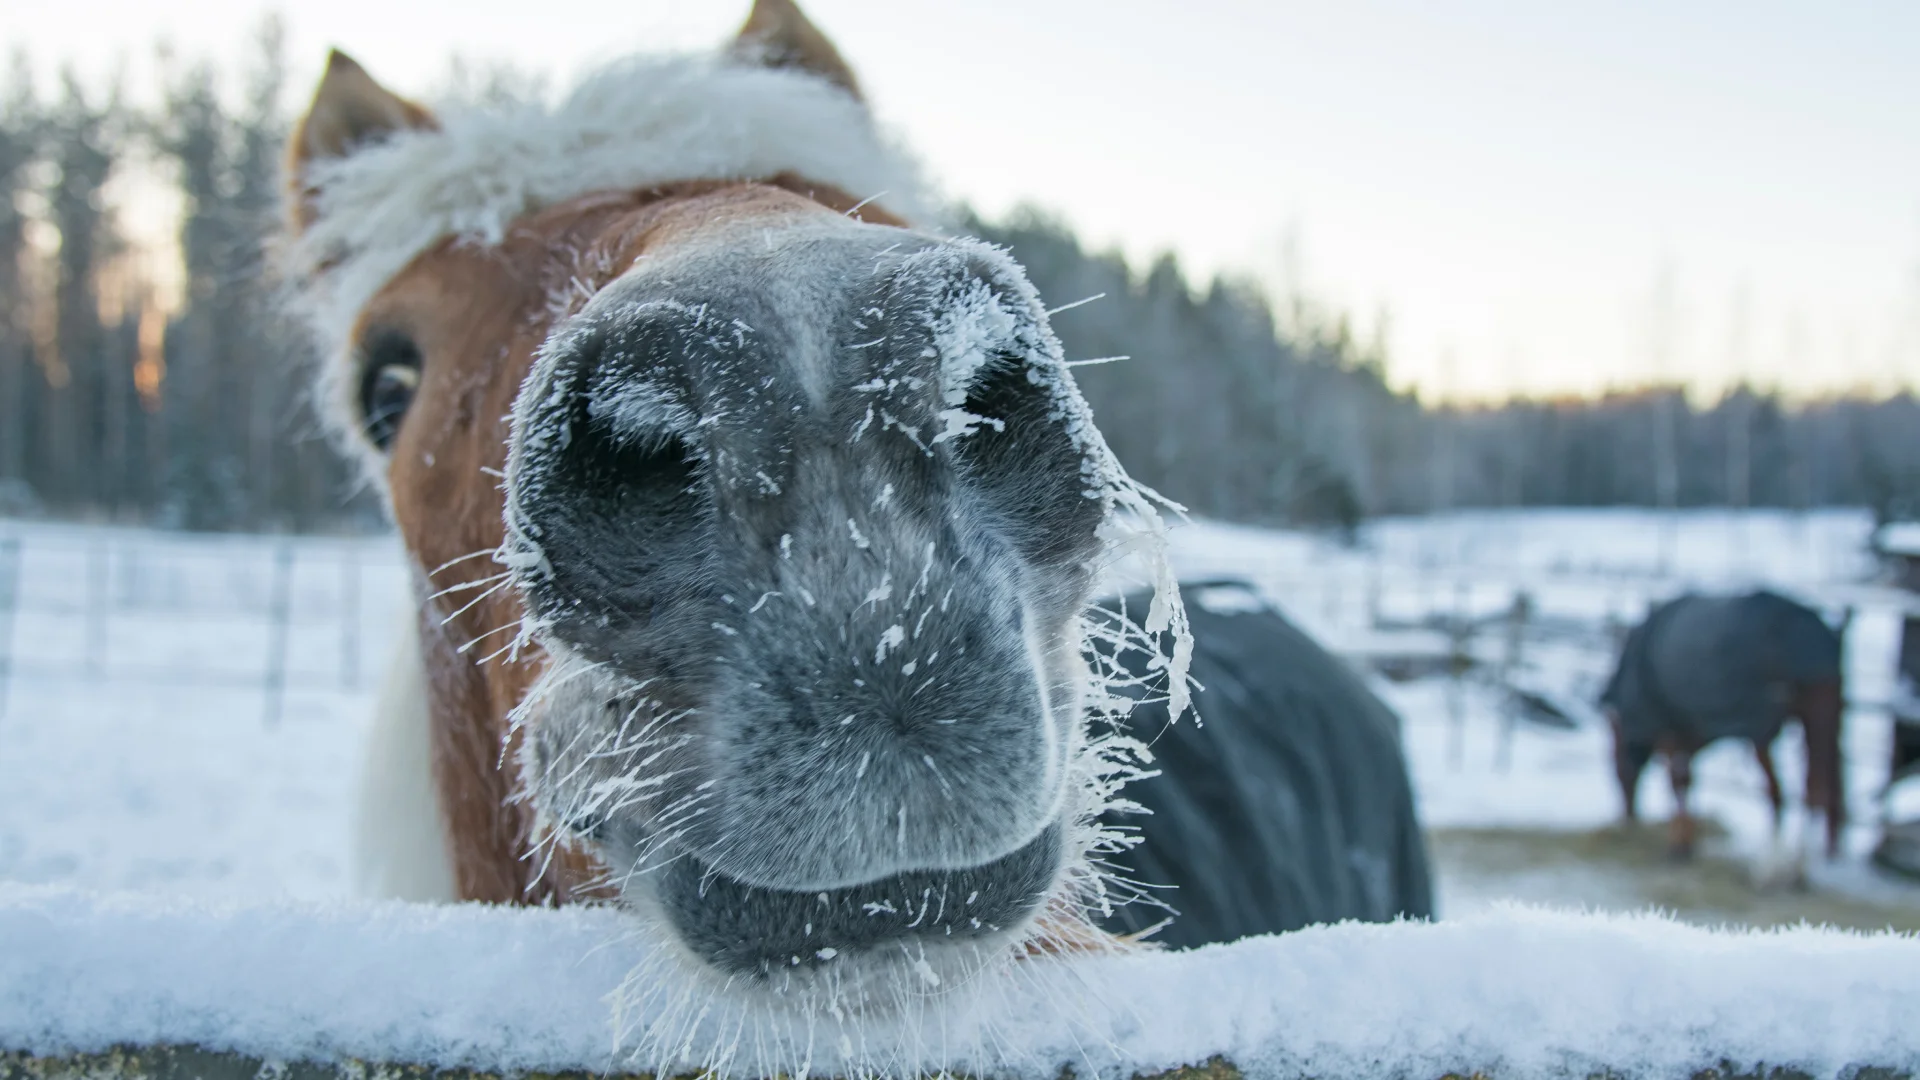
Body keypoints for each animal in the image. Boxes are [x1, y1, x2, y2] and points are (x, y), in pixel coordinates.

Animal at [1600, 590, 1846, 877]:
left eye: (1614, 763)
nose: (1626, 819)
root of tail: (1811, 629)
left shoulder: (1670, 726)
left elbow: (1678, 781)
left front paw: (1678, 847)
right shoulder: (1690, 730)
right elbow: (1688, 780)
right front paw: (1686, 843)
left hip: (1763, 723)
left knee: (1782, 791)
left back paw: (1776, 866)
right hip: (1824, 711)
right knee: (1820, 785)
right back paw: (1810, 860)